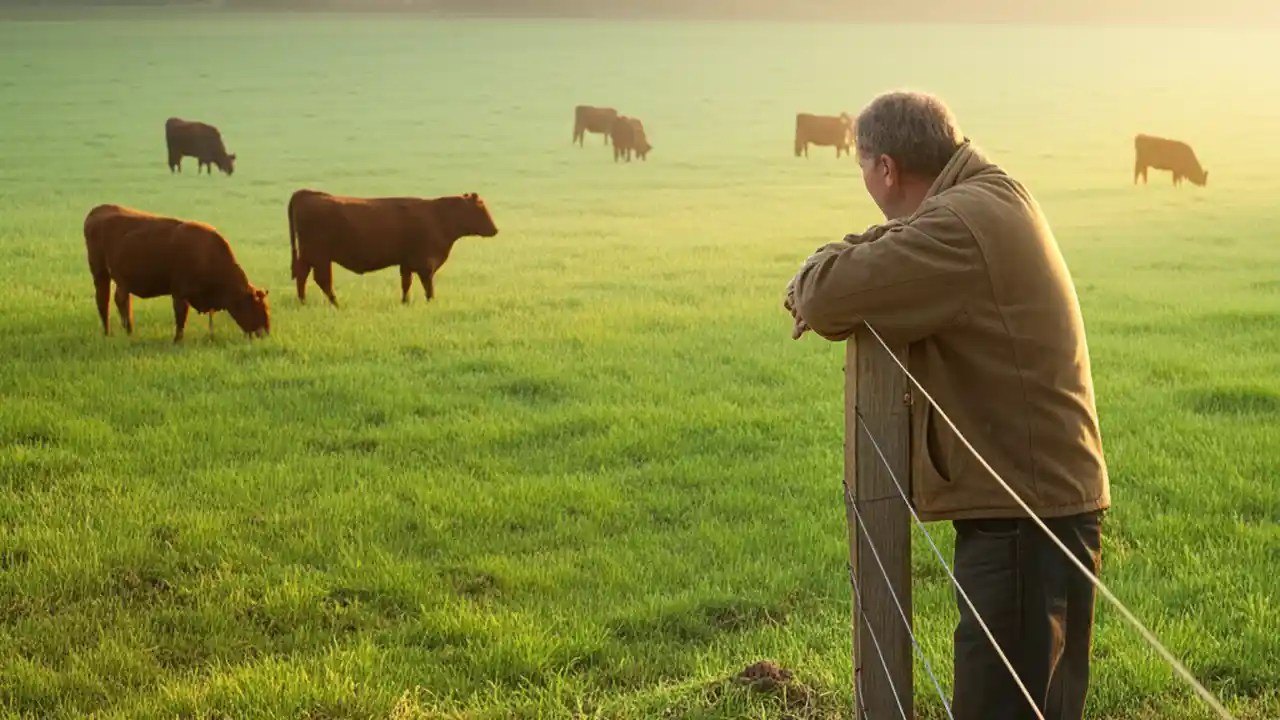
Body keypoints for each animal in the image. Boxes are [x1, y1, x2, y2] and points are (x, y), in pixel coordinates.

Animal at [84, 204, 270, 343]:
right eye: (258, 307)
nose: (266, 332)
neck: (207, 254)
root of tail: (96, 211)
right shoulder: (180, 294)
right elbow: (181, 317)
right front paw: (177, 340)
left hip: (122, 281)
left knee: (122, 301)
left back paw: (129, 331)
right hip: (100, 274)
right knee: (103, 301)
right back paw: (108, 333)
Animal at [287, 190, 499, 307]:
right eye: (480, 208)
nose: (495, 229)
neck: (439, 216)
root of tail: (307, 193)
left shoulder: (406, 263)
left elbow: (406, 284)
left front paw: (405, 302)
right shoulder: (425, 263)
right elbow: (427, 285)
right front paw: (430, 302)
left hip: (311, 257)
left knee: (303, 276)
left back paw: (304, 301)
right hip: (319, 256)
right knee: (321, 279)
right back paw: (335, 303)